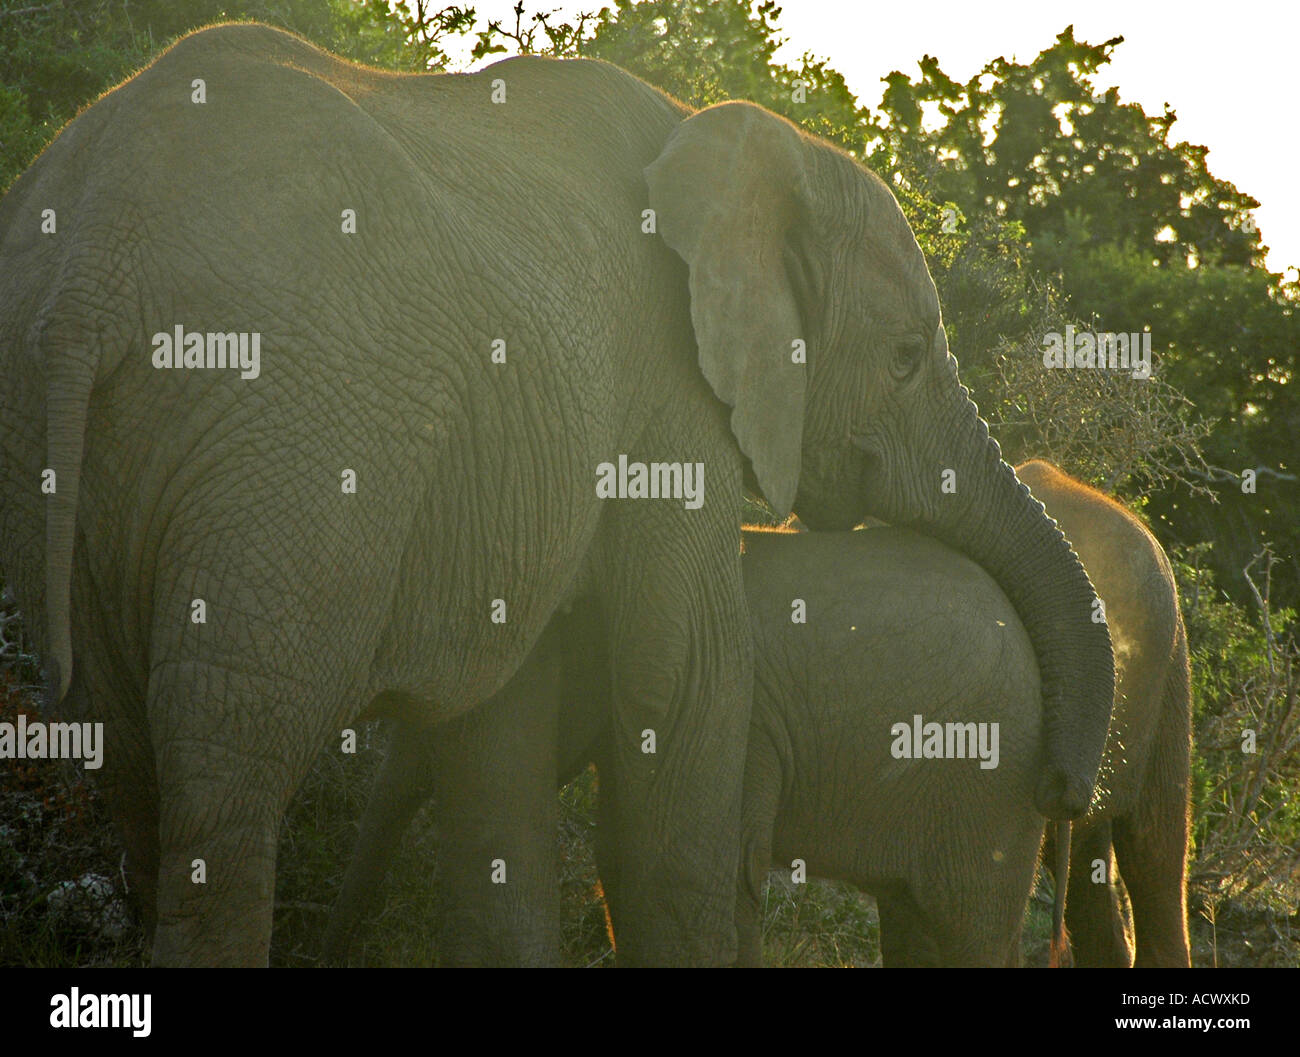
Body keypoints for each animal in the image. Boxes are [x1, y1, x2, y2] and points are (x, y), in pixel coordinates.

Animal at [326, 526, 1054, 967]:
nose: (328, 946)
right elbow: (623, 856)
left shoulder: (745, 713)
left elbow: (723, 869)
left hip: (991, 785)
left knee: (969, 926)